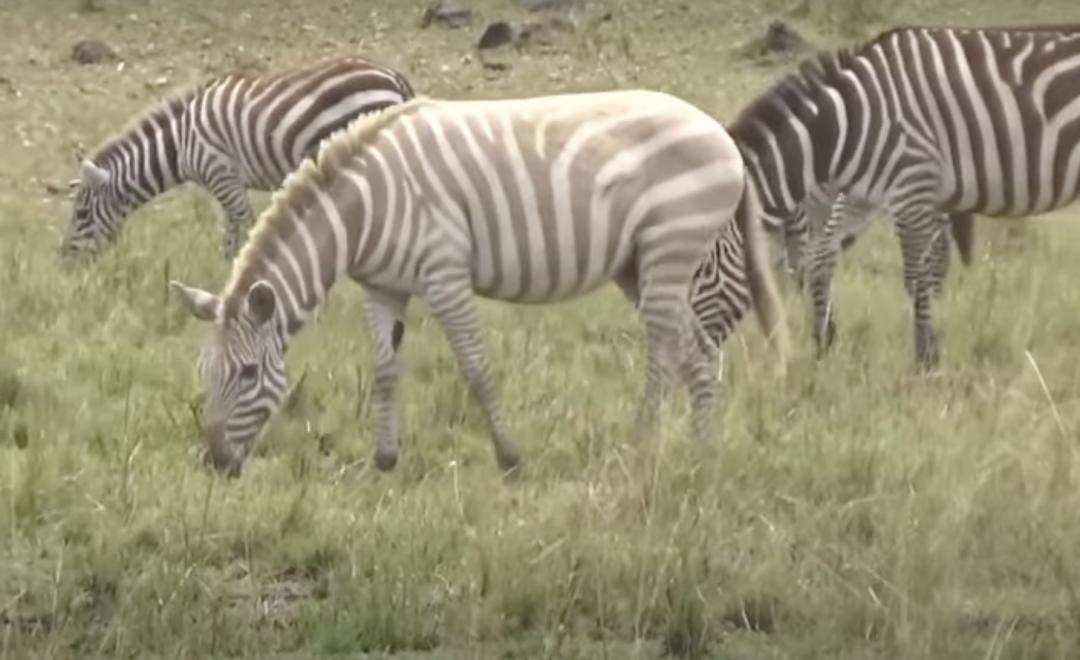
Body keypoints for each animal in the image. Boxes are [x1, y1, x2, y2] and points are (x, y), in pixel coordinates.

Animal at [62, 55, 415, 261]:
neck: (182, 143)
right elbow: (231, 233)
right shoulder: (228, 181)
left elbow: (243, 225)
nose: (64, 261)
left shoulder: (220, 172)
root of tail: (393, 76)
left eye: (81, 214)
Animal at [169, 90, 789, 477]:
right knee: (700, 350)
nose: (216, 465)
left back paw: (643, 441)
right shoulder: (382, 288)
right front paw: (384, 459)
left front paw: (510, 458)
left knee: (662, 349)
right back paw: (703, 450)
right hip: (641, 265)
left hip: (669, 246)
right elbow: (386, 369)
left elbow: (475, 367)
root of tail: (721, 135)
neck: (363, 209)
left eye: (249, 374)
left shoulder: (445, 274)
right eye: (206, 372)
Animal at [729, 24, 1080, 367]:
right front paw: (826, 342)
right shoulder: (870, 196)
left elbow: (919, 276)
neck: (850, 125)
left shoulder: (913, 187)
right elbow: (824, 257)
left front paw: (925, 359)